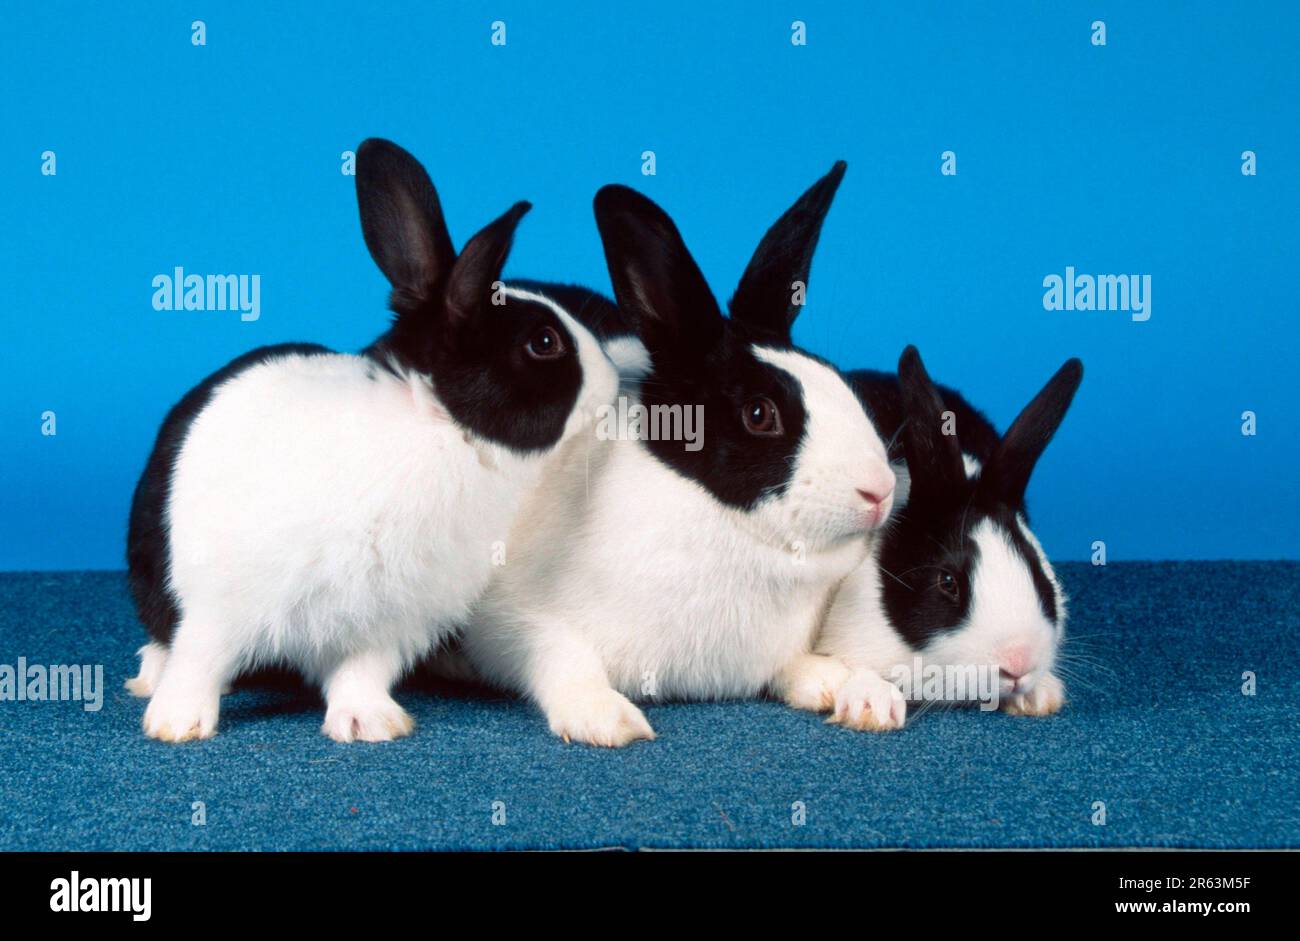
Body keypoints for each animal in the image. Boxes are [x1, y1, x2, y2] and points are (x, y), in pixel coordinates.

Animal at [124, 138, 619, 743]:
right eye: (544, 342)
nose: (613, 381)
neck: (437, 429)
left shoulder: (389, 622)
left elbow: (361, 673)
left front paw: (370, 724)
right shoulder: (221, 603)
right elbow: (201, 656)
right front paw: (177, 723)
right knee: (165, 634)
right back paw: (151, 678)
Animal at [456, 162, 899, 746]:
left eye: (837, 378)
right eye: (759, 414)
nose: (880, 490)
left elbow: (797, 664)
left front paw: (855, 691)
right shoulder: (510, 621)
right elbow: (561, 655)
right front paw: (606, 717)